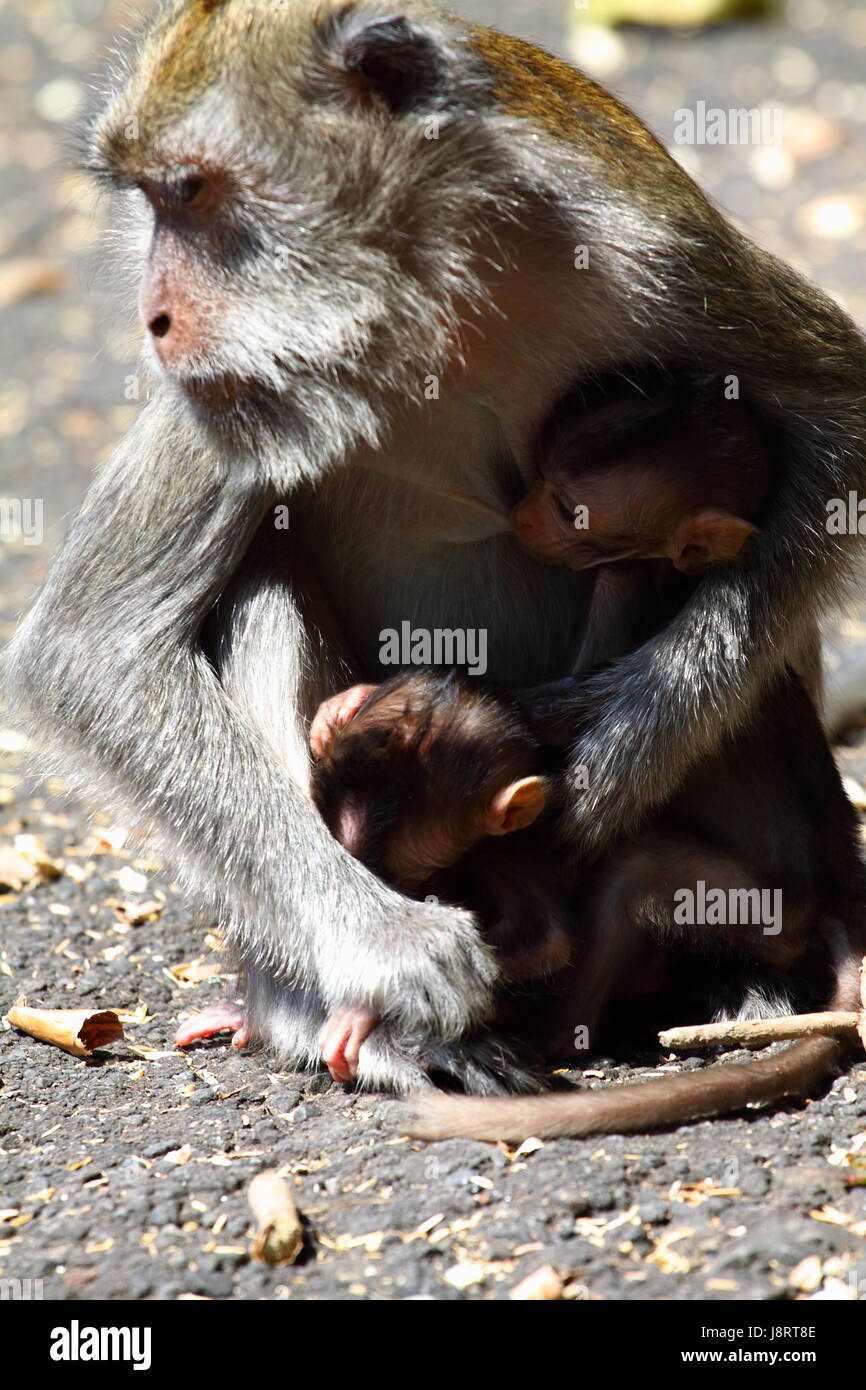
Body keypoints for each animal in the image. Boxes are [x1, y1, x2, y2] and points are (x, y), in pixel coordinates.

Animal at [6, 2, 866, 1114]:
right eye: (153, 200)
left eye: (190, 193)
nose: (152, 318)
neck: (422, 298)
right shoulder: (227, 392)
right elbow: (91, 648)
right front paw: (390, 946)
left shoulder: (647, 244)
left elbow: (836, 416)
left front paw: (628, 737)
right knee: (259, 583)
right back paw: (333, 1015)